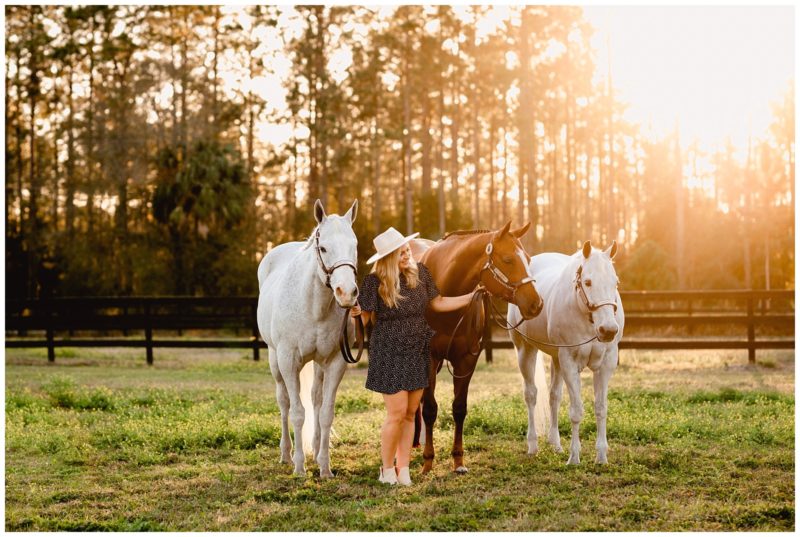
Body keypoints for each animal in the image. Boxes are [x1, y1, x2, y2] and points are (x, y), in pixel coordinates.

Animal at [257, 199, 359, 477]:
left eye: (355, 246)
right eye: (323, 248)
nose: (347, 293)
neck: (314, 307)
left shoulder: (336, 362)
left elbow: (325, 413)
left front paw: (324, 467)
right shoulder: (288, 361)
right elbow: (297, 414)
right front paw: (299, 467)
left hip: (318, 363)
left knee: (315, 399)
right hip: (274, 360)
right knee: (283, 403)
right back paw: (286, 454)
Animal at [416, 221, 544, 474]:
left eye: (527, 258)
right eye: (507, 259)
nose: (536, 303)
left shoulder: (467, 360)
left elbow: (459, 408)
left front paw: (458, 461)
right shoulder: (428, 360)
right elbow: (430, 409)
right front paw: (428, 461)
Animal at [507, 240, 624, 464]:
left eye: (615, 282)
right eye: (587, 282)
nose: (608, 330)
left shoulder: (606, 363)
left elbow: (601, 408)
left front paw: (601, 456)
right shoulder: (569, 362)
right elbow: (576, 411)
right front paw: (574, 457)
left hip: (556, 358)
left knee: (554, 396)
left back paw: (555, 443)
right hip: (525, 350)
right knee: (531, 395)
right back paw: (533, 445)